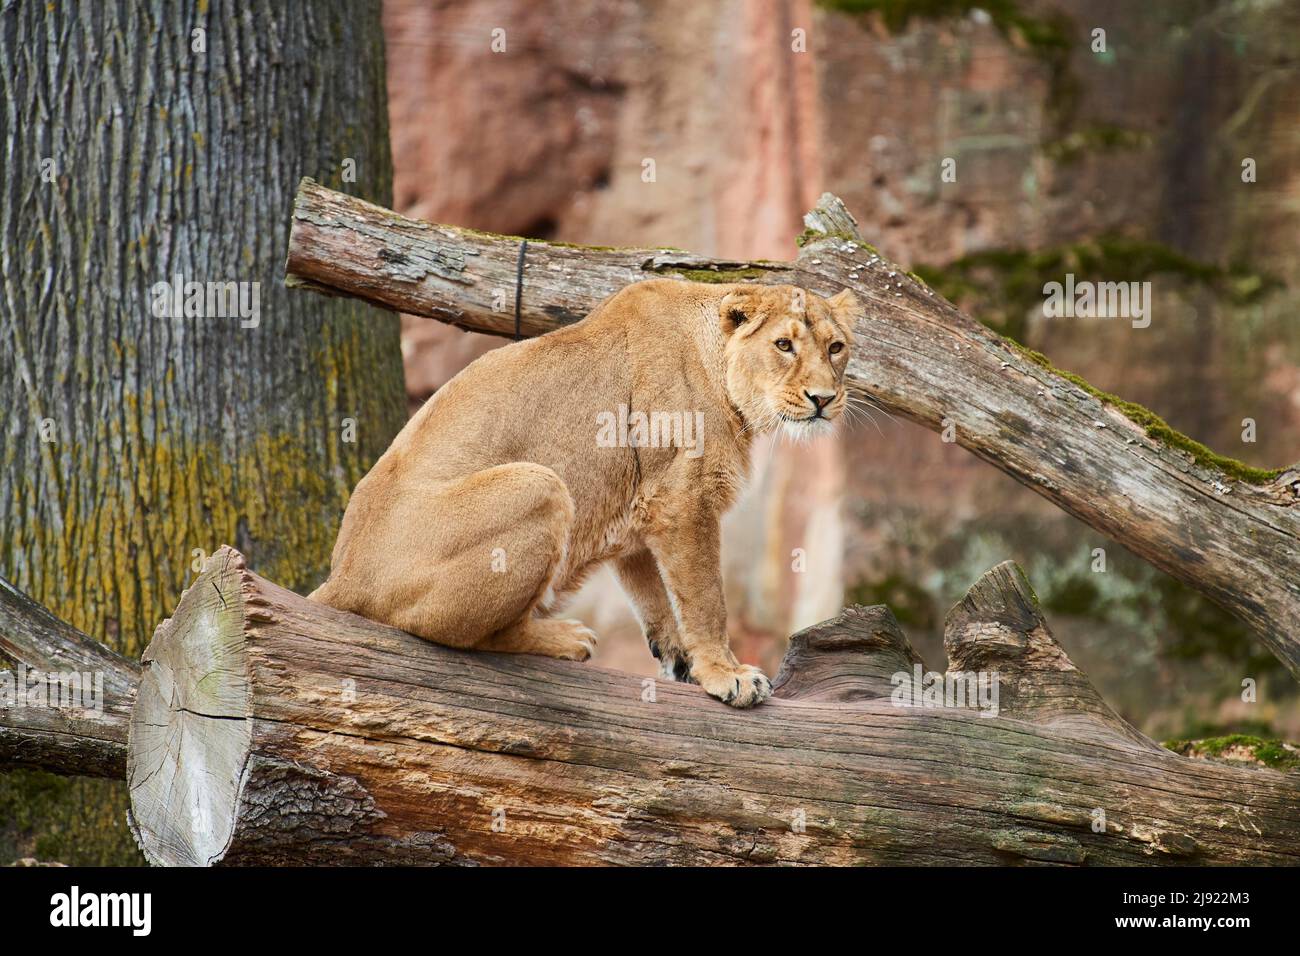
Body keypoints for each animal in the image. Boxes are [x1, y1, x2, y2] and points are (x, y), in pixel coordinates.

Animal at [310, 278, 860, 707]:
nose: (824, 399)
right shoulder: (683, 499)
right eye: (784, 345)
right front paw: (727, 675)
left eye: (836, 348)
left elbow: (656, 596)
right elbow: (705, 597)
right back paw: (565, 639)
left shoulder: (642, 512)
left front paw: (680, 660)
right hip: (541, 485)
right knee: (451, 633)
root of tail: (342, 576)